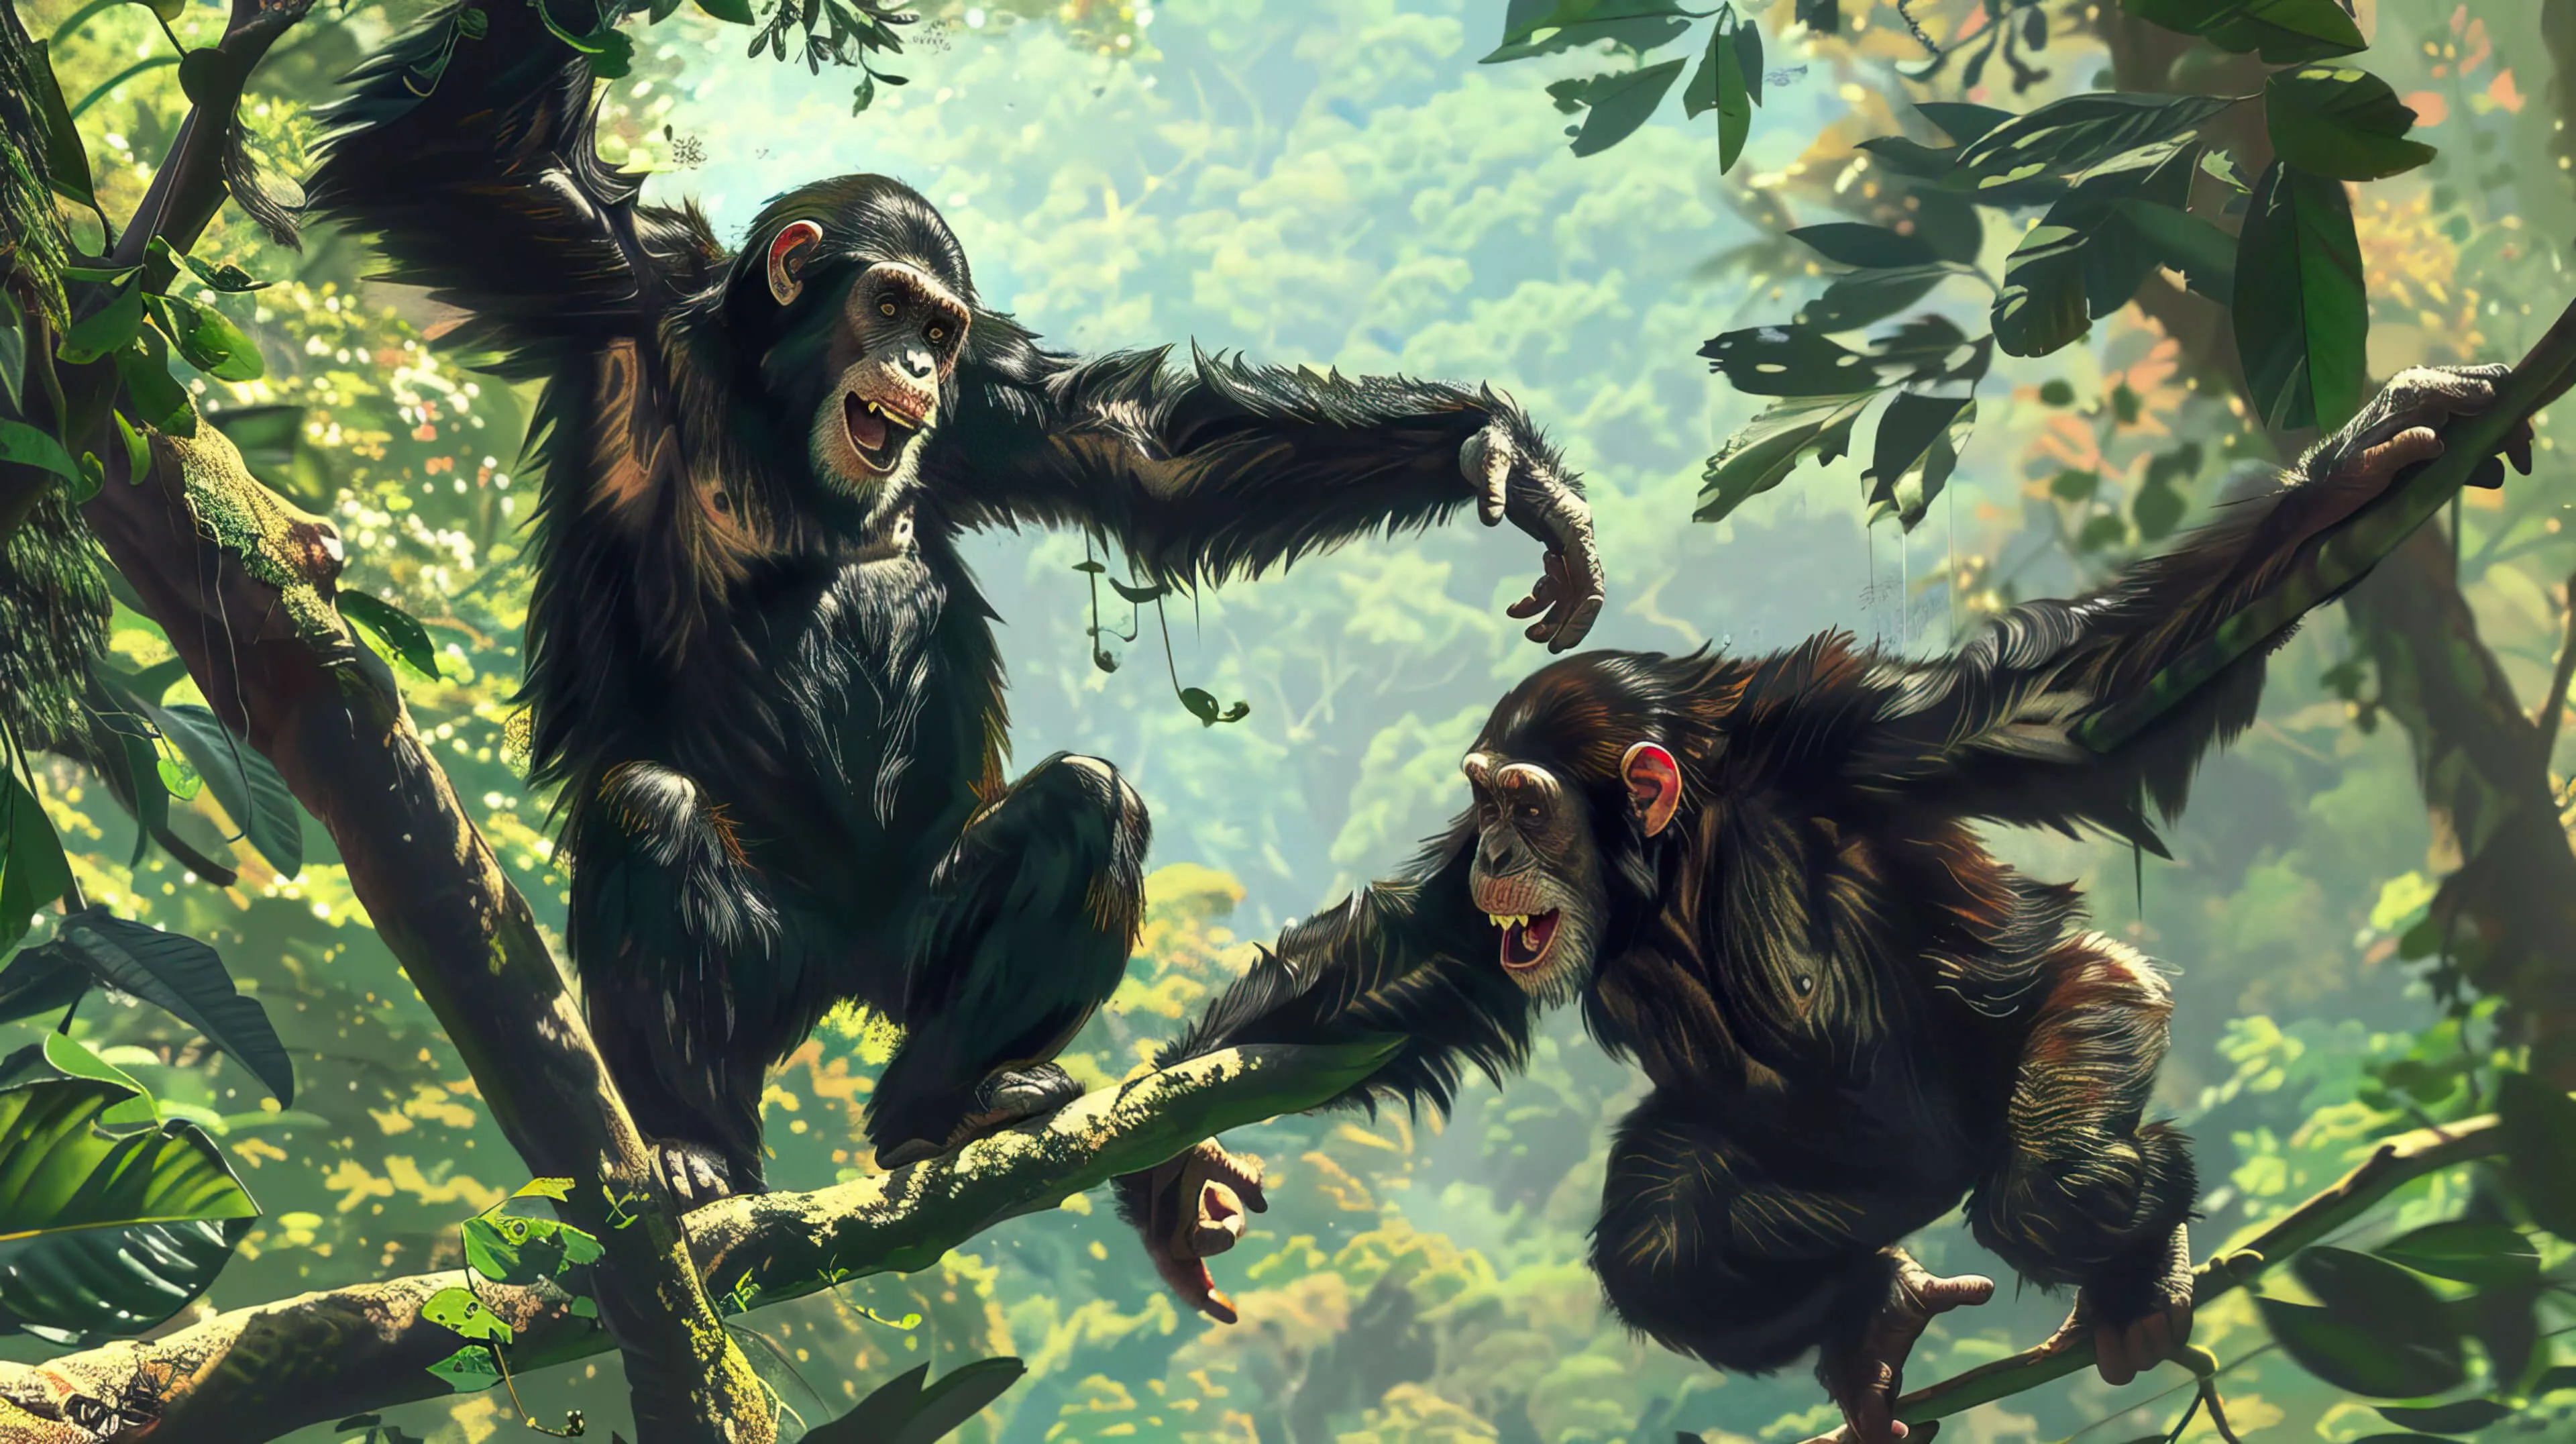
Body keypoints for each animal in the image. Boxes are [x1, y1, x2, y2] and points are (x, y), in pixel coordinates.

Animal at [303, 0, 1607, 1196]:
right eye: (885, 304)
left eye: (940, 323)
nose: (915, 362)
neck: (773, 396)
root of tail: (850, 979)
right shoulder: (598, 274)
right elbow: (457, 154)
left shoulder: (992, 399)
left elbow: (1155, 460)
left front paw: (1500, 461)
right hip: (776, 957)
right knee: (648, 806)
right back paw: (695, 1143)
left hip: (921, 945)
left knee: (1087, 804)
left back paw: (948, 1102)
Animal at [1115, 366, 2533, 1441]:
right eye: (1484, 804)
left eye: (1524, 801)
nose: (1492, 854)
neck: (1674, 853)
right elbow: (1407, 966)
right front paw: (1179, 1165)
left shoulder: (1843, 735)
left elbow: (2066, 706)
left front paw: (2359, 467)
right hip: (1859, 1188)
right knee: (1666, 1238)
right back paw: (1874, 1313)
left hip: (2100, 999)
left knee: (2054, 1178)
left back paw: (2140, 1270)